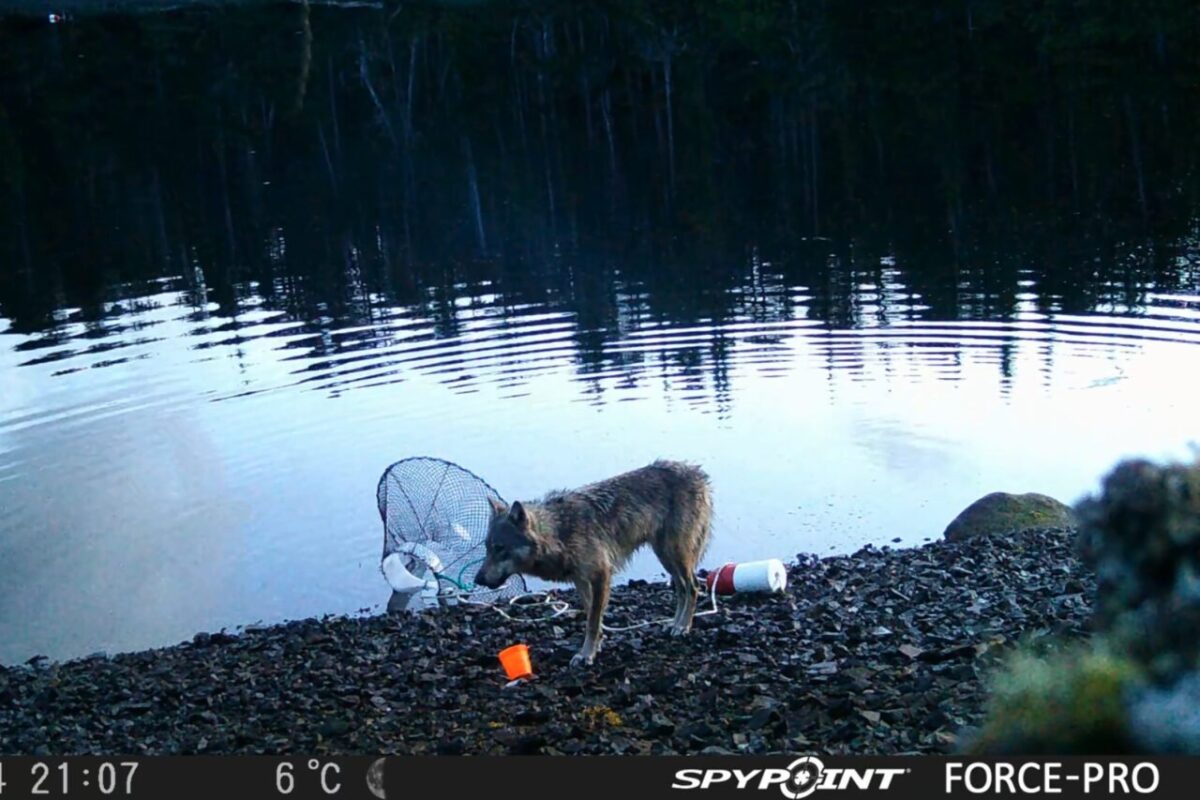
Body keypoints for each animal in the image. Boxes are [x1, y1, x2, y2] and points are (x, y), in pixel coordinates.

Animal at [474, 460, 712, 667]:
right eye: (487, 548)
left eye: (499, 548)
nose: (477, 579)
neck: (559, 533)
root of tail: (697, 472)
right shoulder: (581, 581)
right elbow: (591, 615)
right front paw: (597, 645)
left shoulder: (601, 576)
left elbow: (592, 621)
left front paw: (586, 655)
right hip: (666, 557)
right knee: (682, 589)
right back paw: (675, 624)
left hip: (675, 554)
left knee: (693, 587)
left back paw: (683, 626)